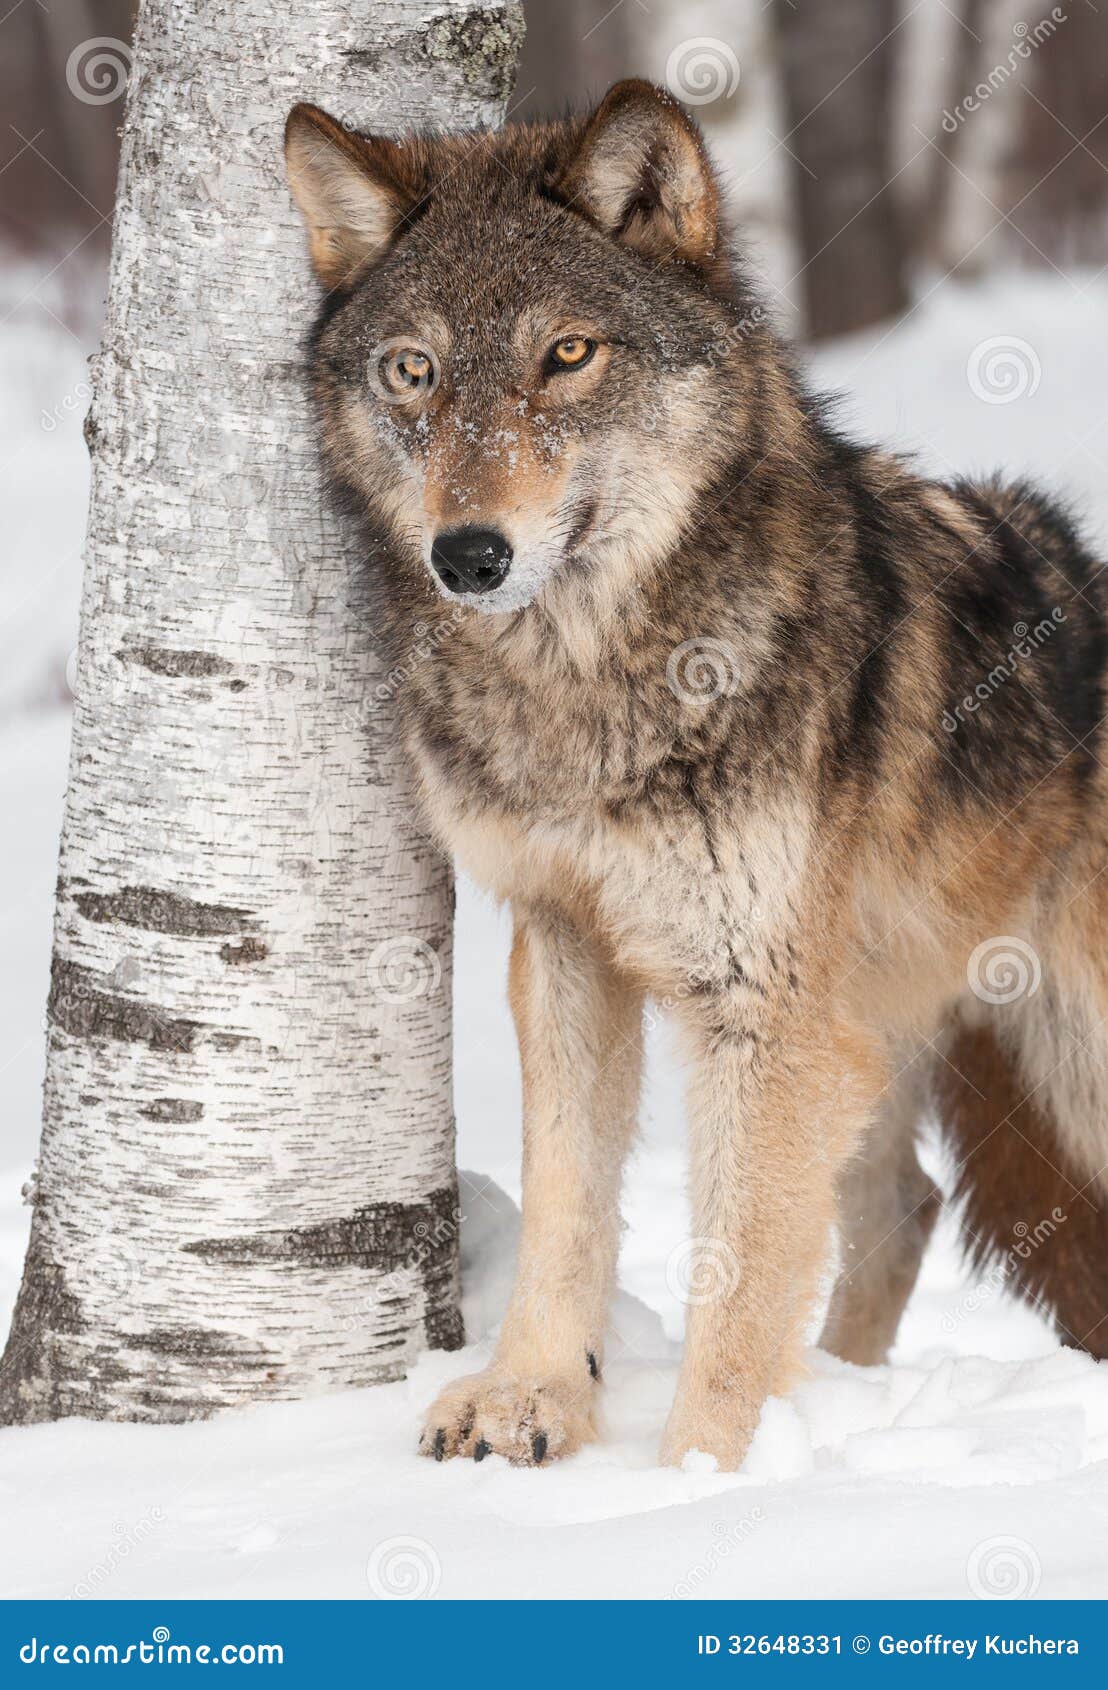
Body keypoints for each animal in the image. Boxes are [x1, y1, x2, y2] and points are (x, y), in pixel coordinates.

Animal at [285, 79, 1108, 1471]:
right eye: (414, 371)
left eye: (568, 355)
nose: (468, 553)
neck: (585, 687)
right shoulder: (566, 942)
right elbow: (570, 1198)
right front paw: (529, 1402)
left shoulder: (759, 1004)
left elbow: (740, 1270)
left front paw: (704, 1479)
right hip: (885, 1031)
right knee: (903, 1202)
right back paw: (842, 1394)